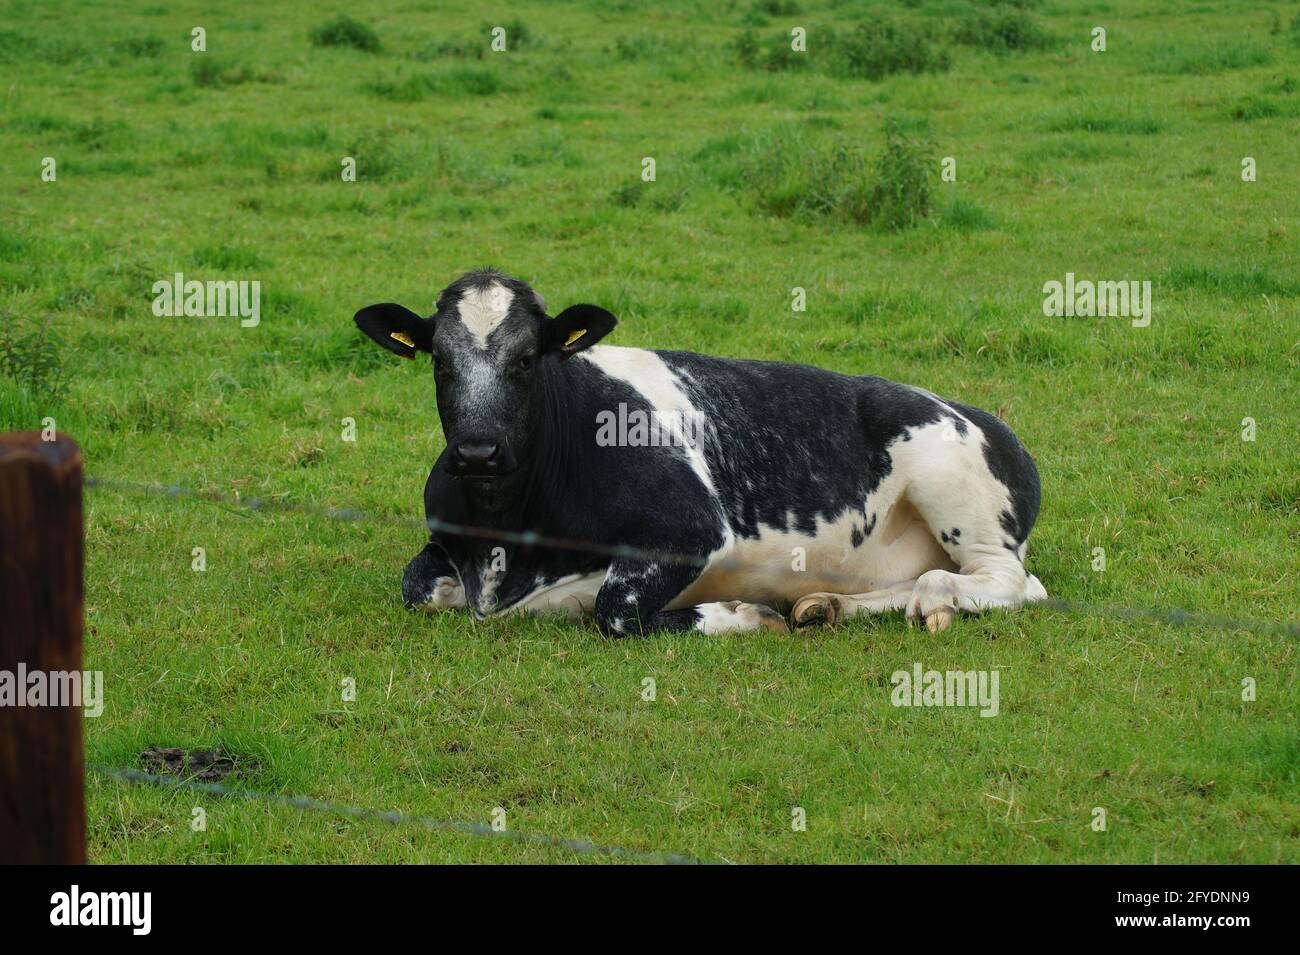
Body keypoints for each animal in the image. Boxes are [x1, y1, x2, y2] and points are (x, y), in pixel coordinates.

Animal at [354, 270, 1047, 637]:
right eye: (438, 362)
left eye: (527, 359)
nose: (477, 451)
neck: (506, 542)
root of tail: (979, 413)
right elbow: (417, 585)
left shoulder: (691, 529)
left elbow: (615, 609)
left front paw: (740, 614)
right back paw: (826, 604)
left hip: (952, 487)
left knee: (1009, 582)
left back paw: (932, 599)